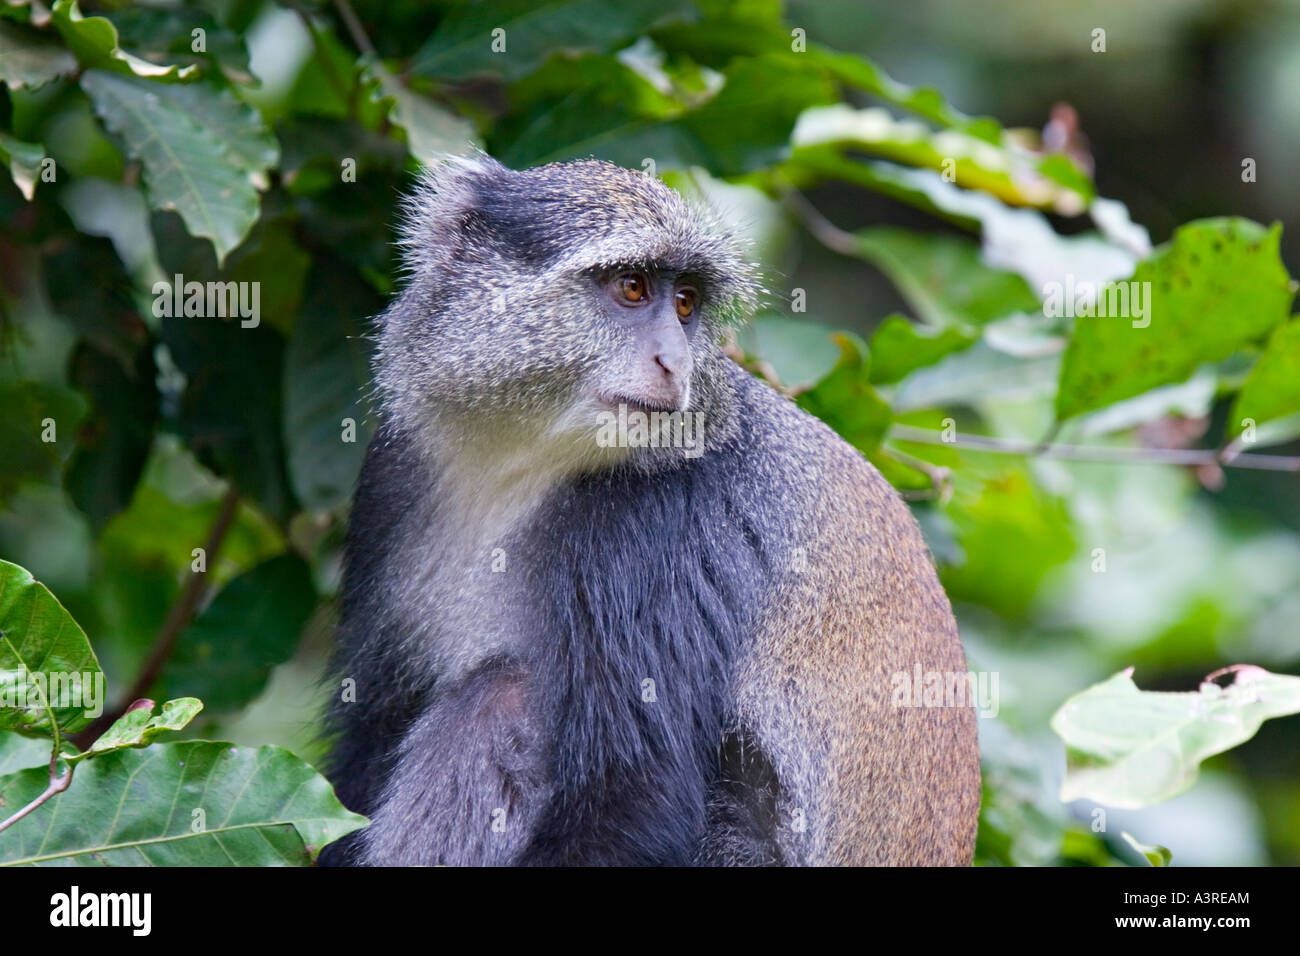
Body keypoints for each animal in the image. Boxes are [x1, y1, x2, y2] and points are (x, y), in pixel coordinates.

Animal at [319, 153, 980, 866]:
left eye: (685, 303)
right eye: (633, 288)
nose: (674, 360)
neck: (521, 457)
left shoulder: (657, 525)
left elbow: (633, 799)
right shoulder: (396, 465)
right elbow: (367, 739)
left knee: (502, 697)